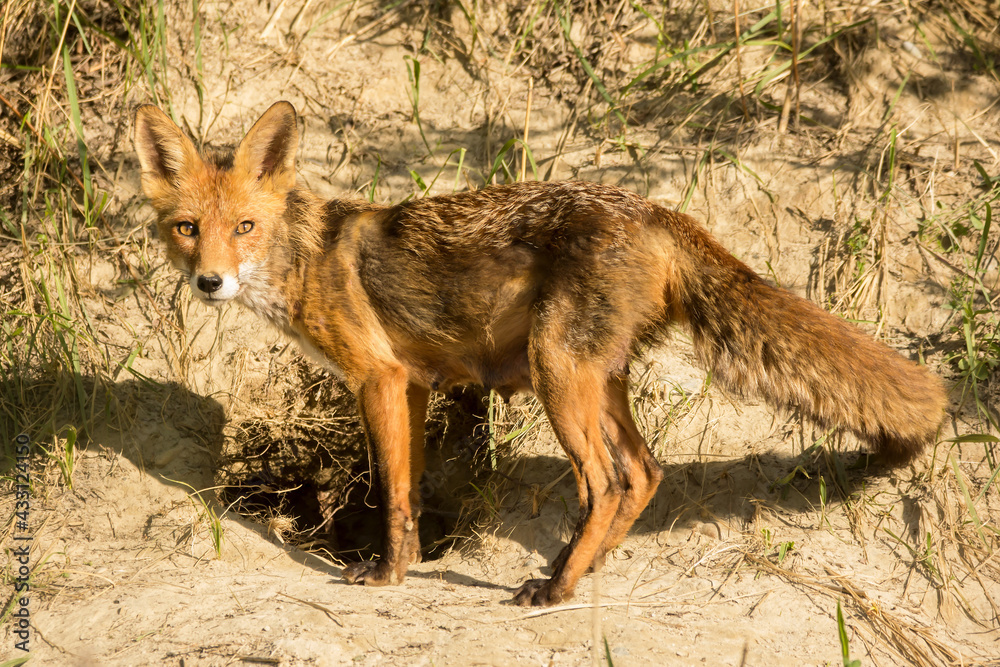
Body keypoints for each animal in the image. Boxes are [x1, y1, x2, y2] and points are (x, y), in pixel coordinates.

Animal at [133, 100, 947, 607]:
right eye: (187, 228)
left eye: (244, 226)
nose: (210, 281)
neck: (307, 259)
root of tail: (655, 208)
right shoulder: (415, 383)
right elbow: (413, 490)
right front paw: (413, 562)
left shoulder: (379, 377)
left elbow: (392, 492)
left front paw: (389, 574)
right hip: (593, 377)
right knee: (645, 473)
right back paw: (579, 569)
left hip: (558, 375)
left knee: (609, 482)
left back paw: (556, 589)